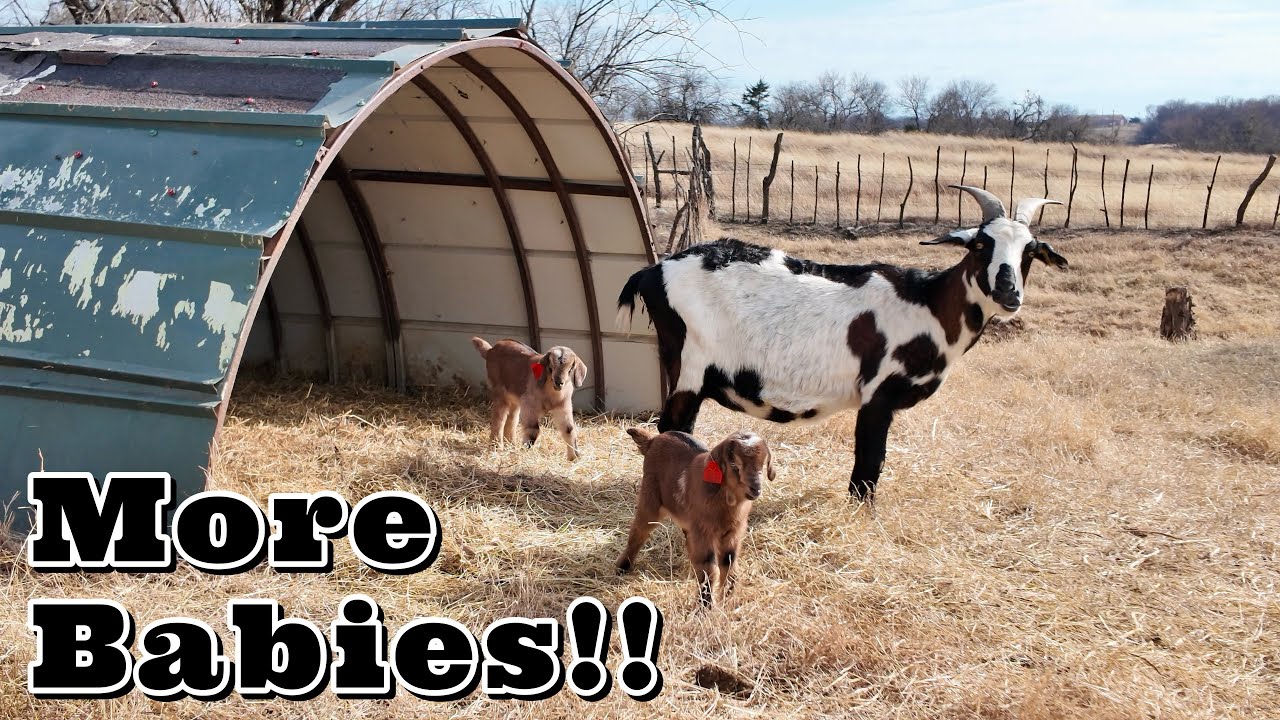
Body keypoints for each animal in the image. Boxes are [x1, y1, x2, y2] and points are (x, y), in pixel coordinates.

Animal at [615, 185, 1068, 504]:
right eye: (979, 244)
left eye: (1030, 251)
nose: (1009, 293)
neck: (928, 305)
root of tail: (652, 272)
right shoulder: (878, 396)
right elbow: (869, 463)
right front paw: (861, 513)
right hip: (689, 367)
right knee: (673, 427)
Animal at [616, 427, 774, 607]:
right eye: (734, 464)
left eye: (763, 463)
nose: (756, 489)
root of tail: (653, 439)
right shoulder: (703, 532)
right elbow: (710, 569)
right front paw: (704, 607)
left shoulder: (733, 532)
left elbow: (729, 566)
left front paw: (728, 601)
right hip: (650, 499)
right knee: (638, 531)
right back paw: (622, 567)